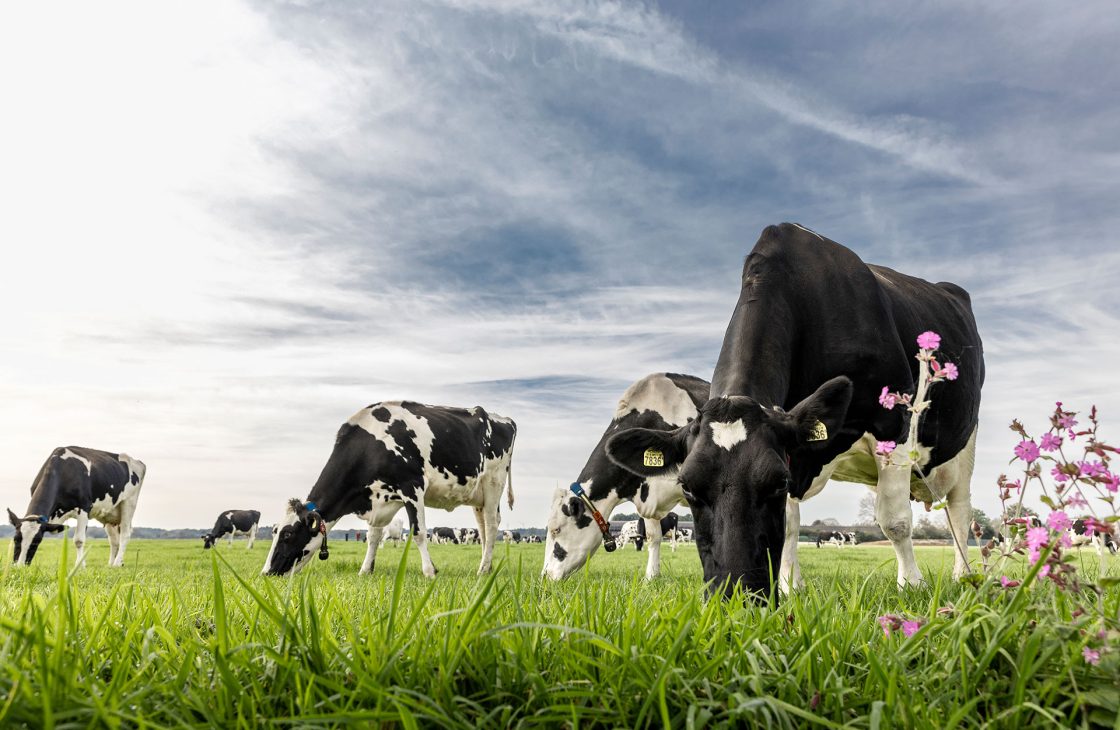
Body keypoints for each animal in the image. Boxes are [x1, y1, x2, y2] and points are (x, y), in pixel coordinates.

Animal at [8, 446, 146, 568]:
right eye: (15, 539)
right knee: (113, 540)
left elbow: (79, 540)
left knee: (125, 534)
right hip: (109, 514)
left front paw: (80, 566)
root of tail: (137, 461)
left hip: (129, 503)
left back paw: (117, 563)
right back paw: (112, 564)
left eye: (37, 541)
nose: (19, 566)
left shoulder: (84, 507)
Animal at [262, 401, 515, 577]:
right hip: (477, 495)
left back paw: (482, 570)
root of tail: (502, 418)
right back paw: (486, 566)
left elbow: (418, 532)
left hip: (494, 483)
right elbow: (373, 537)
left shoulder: (412, 486)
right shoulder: (379, 497)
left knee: (491, 526)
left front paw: (429, 571)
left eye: (287, 535)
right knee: (482, 529)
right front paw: (365, 570)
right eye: (274, 532)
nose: (266, 573)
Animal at [607, 223, 984, 599]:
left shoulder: (891, 423)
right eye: (686, 487)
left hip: (965, 443)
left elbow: (895, 519)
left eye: (778, 482)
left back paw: (963, 575)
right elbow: (790, 525)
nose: (737, 595)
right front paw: (790, 586)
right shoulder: (791, 444)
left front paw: (911, 585)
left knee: (959, 511)